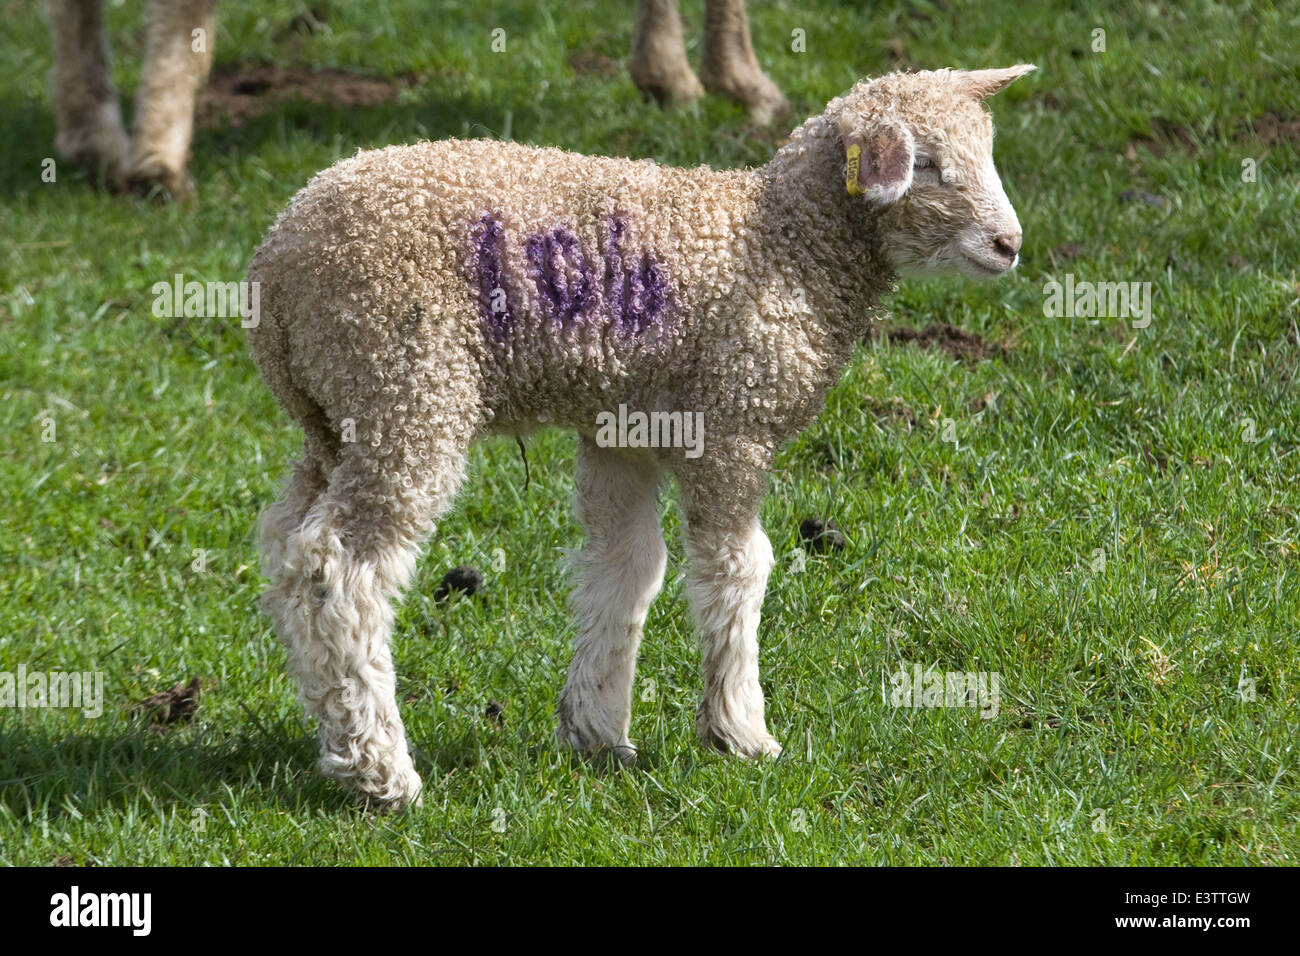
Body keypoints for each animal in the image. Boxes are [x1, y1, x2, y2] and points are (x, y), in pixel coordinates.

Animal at [246, 65, 1035, 809]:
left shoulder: (621, 428)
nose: (1011, 245)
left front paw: (596, 730)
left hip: (336, 413)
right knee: (339, 569)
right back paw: (381, 769)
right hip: (406, 389)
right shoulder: (733, 422)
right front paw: (739, 730)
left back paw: (333, 732)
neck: (788, 245)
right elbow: (737, 568)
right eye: (925, 164)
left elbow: (626, 567)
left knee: (287, 547)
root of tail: (274, 267)